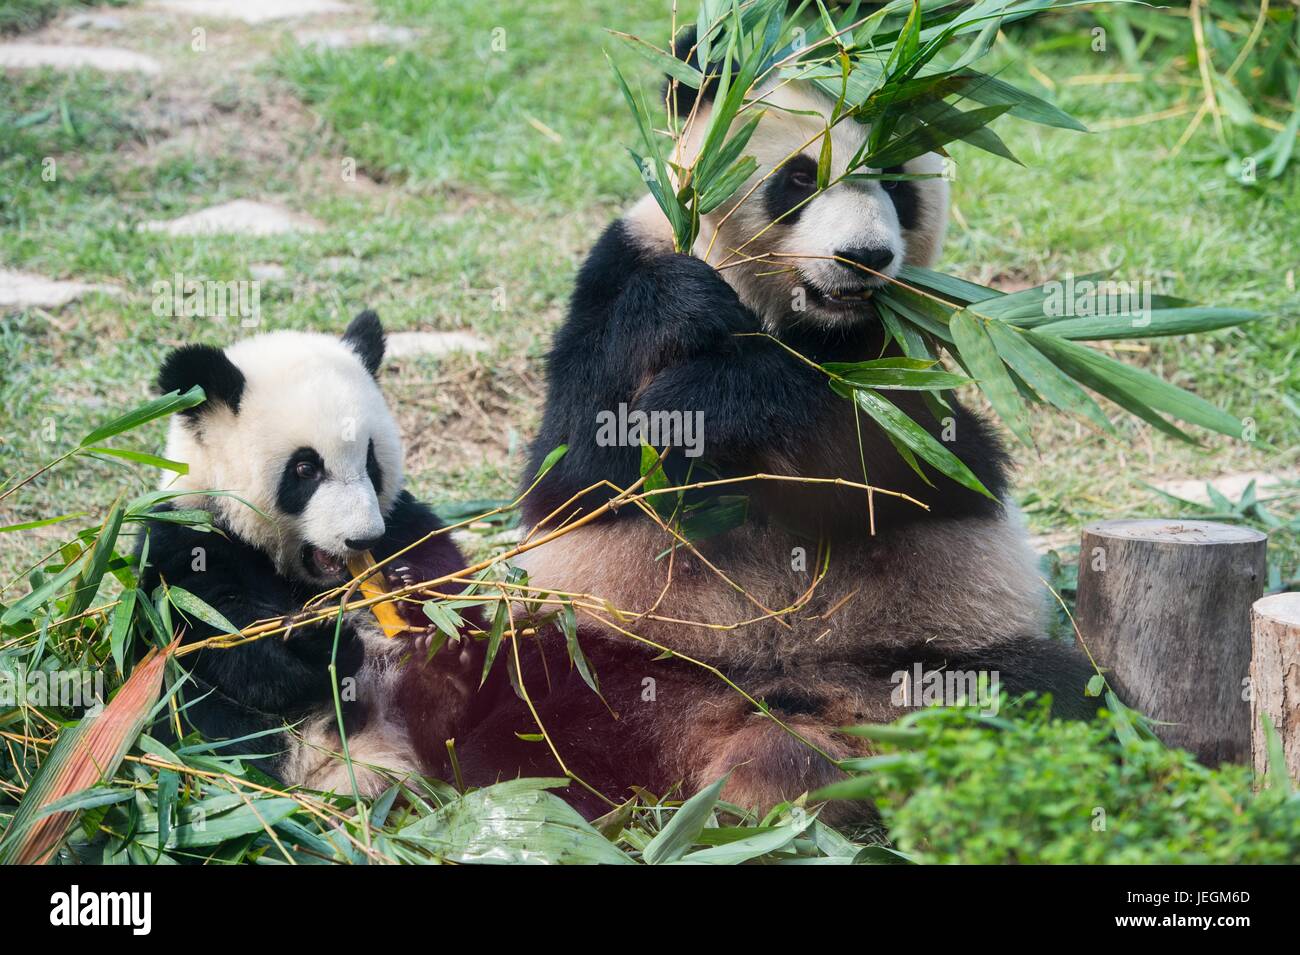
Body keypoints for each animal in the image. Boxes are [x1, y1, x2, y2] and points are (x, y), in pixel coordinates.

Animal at [136, 312, 483, 796]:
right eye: (305, 468)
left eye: (371, 462)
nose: (361, 539)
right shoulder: (187, 540)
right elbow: (220, 636)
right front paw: (316, 642)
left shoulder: (400, 520)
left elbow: (448, 570)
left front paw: (413, 592)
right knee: (199, 725)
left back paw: (440, 679)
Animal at [454, 34, 1098, 822]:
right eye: (798, 178)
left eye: (896, 184)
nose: (864, 258)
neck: (800, 317)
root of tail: (769, 717)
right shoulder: (617, 271)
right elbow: (579, 466)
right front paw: (686, 333)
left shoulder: (910, 346)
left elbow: (935, 463)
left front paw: (732, 396)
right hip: (614, 641)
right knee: (521, 697)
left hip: (931, 656)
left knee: (1057, 696)